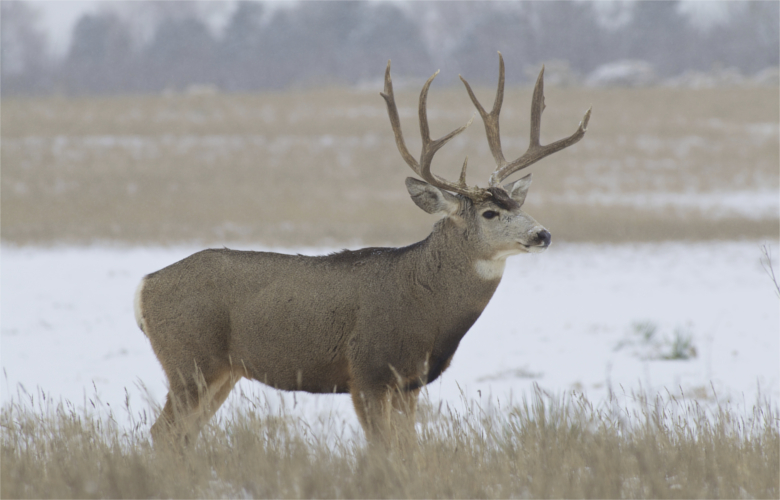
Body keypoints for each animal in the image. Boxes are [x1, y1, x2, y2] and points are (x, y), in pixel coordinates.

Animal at [134, 52, 591, 448]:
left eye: (520, 205)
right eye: (491, 213)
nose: (543, 235)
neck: (424, 305)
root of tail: (144, 286)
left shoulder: (409, 383)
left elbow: (407, 447)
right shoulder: (367, 371)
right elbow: (382, 450)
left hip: (221, 372)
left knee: (183, 435)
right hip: (190, 360)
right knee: (163, 432)